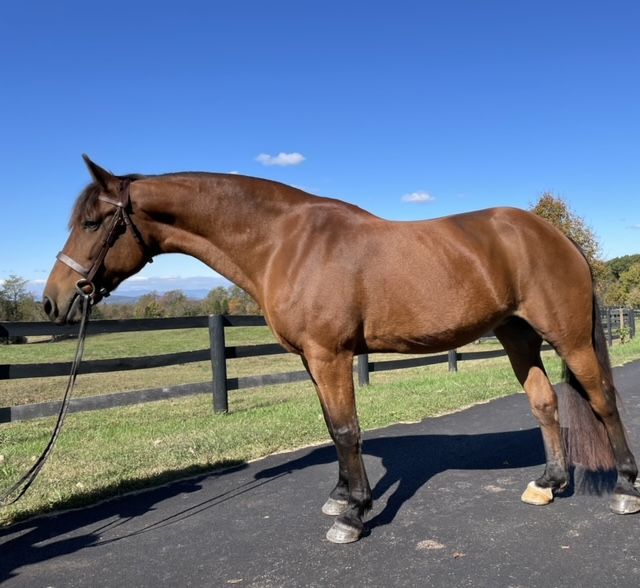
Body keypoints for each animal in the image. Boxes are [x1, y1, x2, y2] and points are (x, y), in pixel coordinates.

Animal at [43, 156, 640, 543]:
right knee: (544, 401)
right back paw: (548, 483)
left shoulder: (330, 354)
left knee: (603, 401)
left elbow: (348, 429)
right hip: (516, 334)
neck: (284, 242)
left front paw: (353, 516)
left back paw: (625, 489)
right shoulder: (313, 359)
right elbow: (333, 428)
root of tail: (556, 236)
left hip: (567, 337)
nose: (53, 302)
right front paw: (344, 496)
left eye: (93, 222)